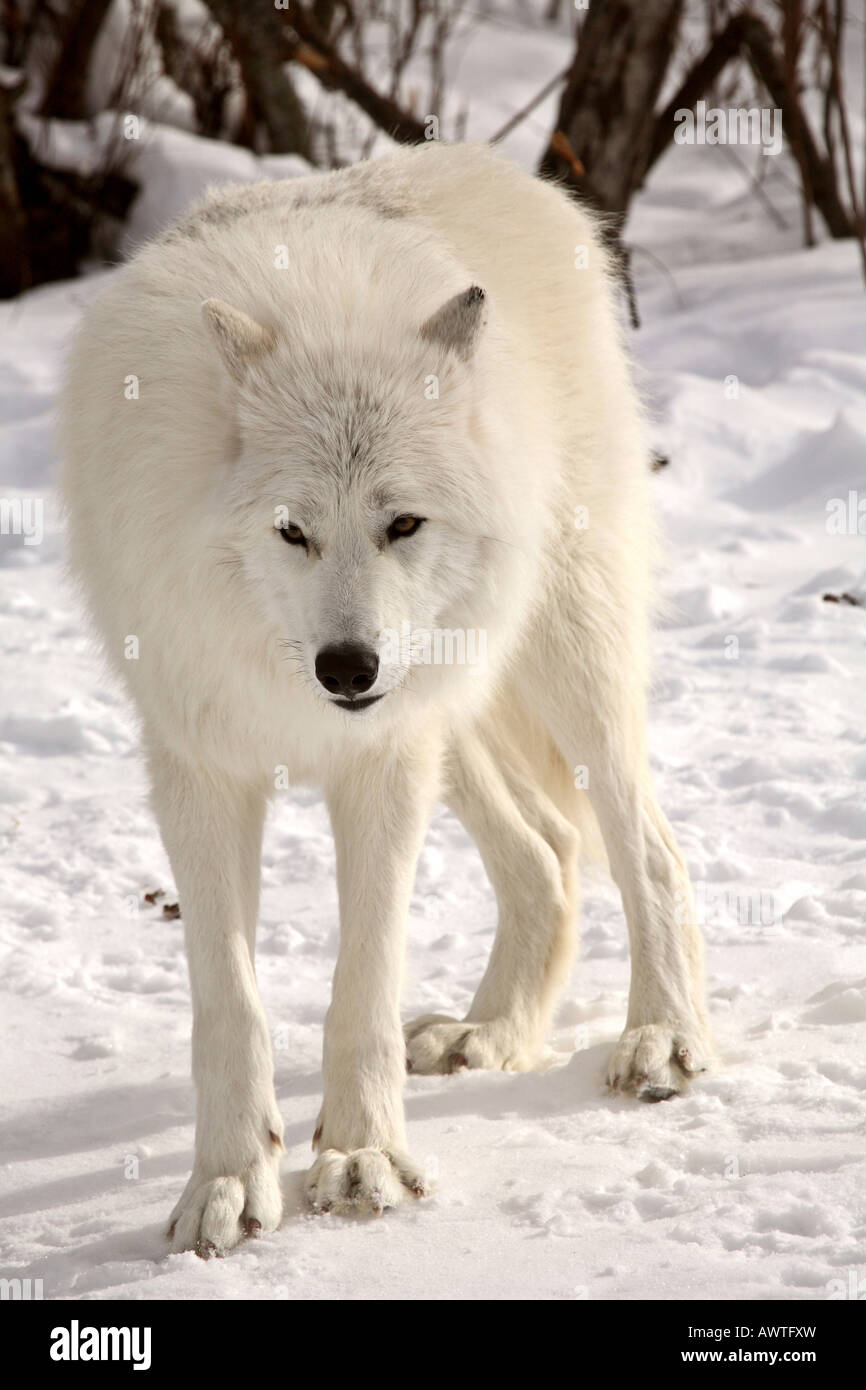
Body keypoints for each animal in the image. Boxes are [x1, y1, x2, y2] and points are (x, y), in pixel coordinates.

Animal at [59, 141, 712, 1255]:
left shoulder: (381, 758)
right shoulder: (200, 762)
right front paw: (228, 1182)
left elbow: (359, 987)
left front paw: (361, 1157)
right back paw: (490, 1031)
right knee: (548, 852)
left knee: (647, 849)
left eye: (401, 522)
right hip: (452, 715)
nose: (347, 668)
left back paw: (660, 1035)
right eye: (293, 530)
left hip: (555, 660)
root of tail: (517, 178)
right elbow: (229, 1004)